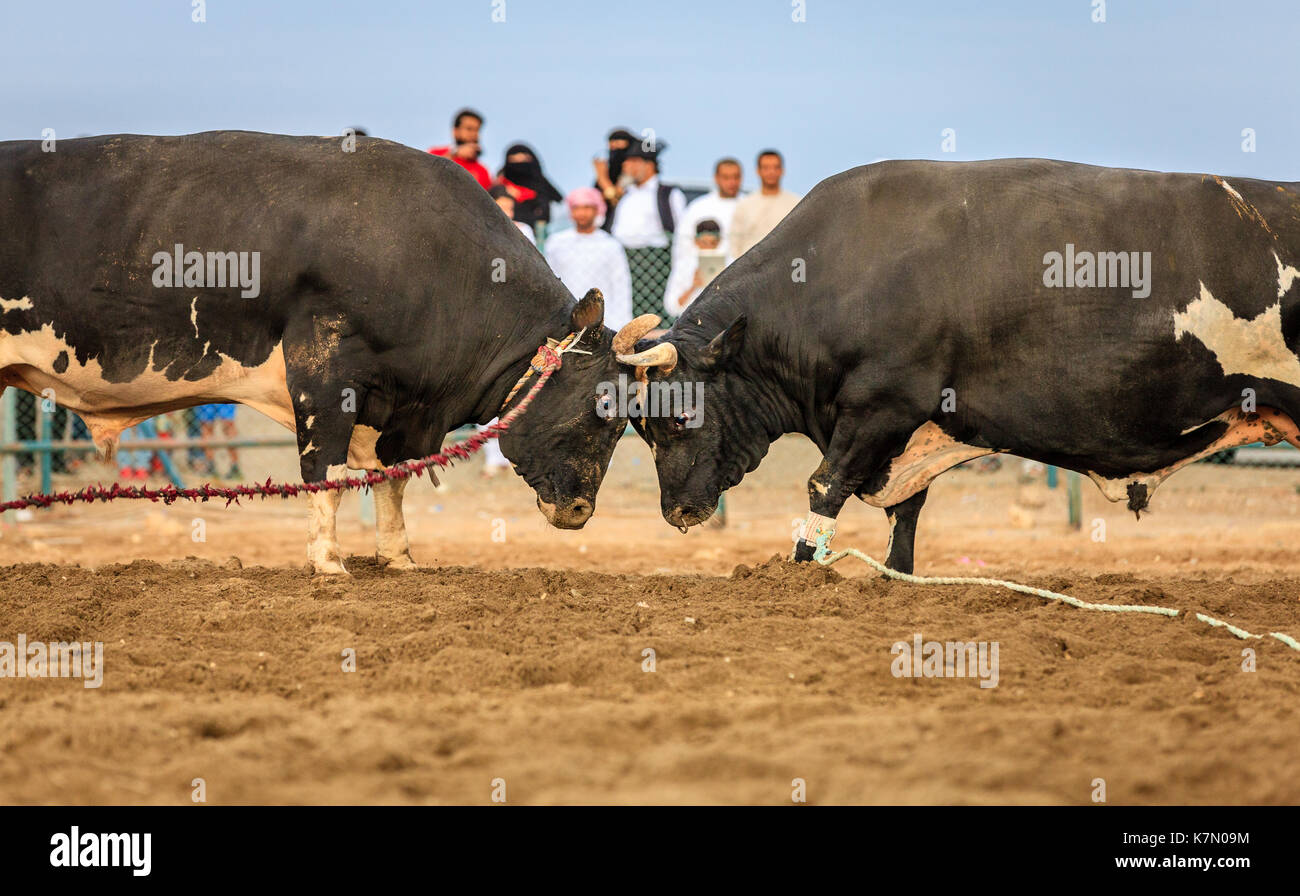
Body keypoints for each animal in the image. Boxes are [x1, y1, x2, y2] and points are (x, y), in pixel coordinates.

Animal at [0, 131, 627, 574]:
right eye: (601, 410)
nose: (580, 511)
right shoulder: (324, 367)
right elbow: (324, 468)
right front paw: (328, 562)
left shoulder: (399, 410)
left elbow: (391, 479)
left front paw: (398, 558)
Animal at [615, 158, 1300, 573]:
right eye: (640, 427)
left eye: (678, 419)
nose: (677, 511)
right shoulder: (904, 436)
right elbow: (904, 518)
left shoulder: (879, 408)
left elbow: (824, 489)